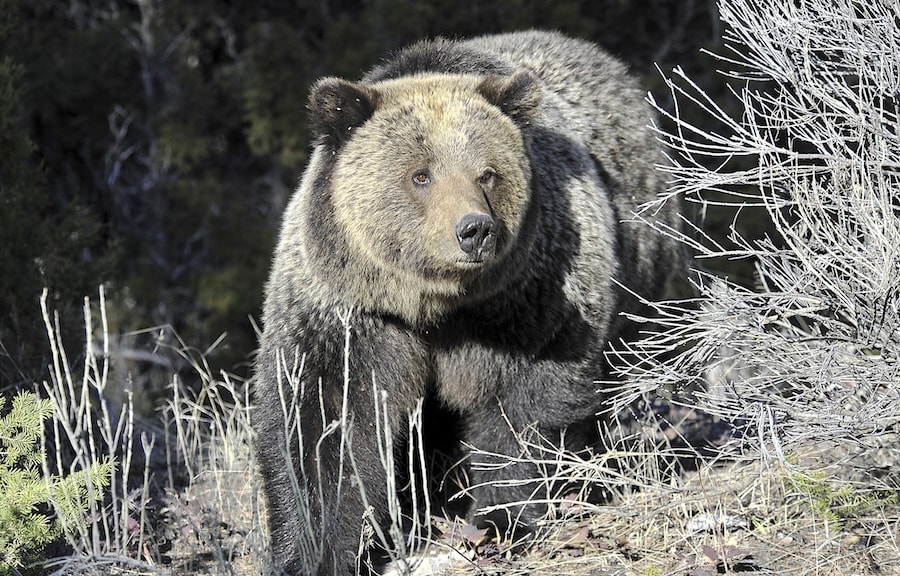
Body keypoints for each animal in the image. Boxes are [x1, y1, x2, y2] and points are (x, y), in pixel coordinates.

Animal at [253, 30, 680, 575]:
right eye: (420, 175)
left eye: (488, 173)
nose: (475, 230)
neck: (434, 304)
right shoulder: (352, 312)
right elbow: (326, 422)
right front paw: (313, 550)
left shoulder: (528, 300)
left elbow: (523, 407)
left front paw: (502, 520)